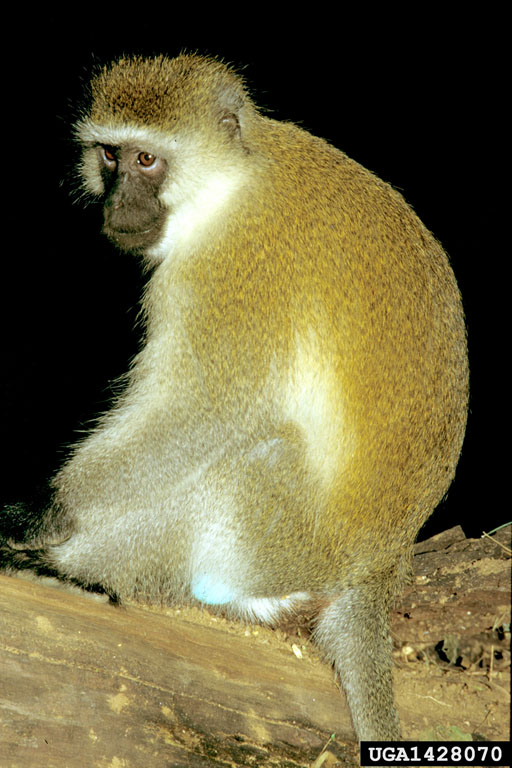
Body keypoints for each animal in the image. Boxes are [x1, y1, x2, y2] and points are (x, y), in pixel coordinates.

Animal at [0, 54, 468, 743]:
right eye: (110, 155)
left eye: (147, 161)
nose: (119, 201)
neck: (230, 181)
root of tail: (382, 567)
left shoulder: (231, 273)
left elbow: (204, 412)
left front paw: (42, 513)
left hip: (285, 544)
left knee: (244, 459)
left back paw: (81, 571)